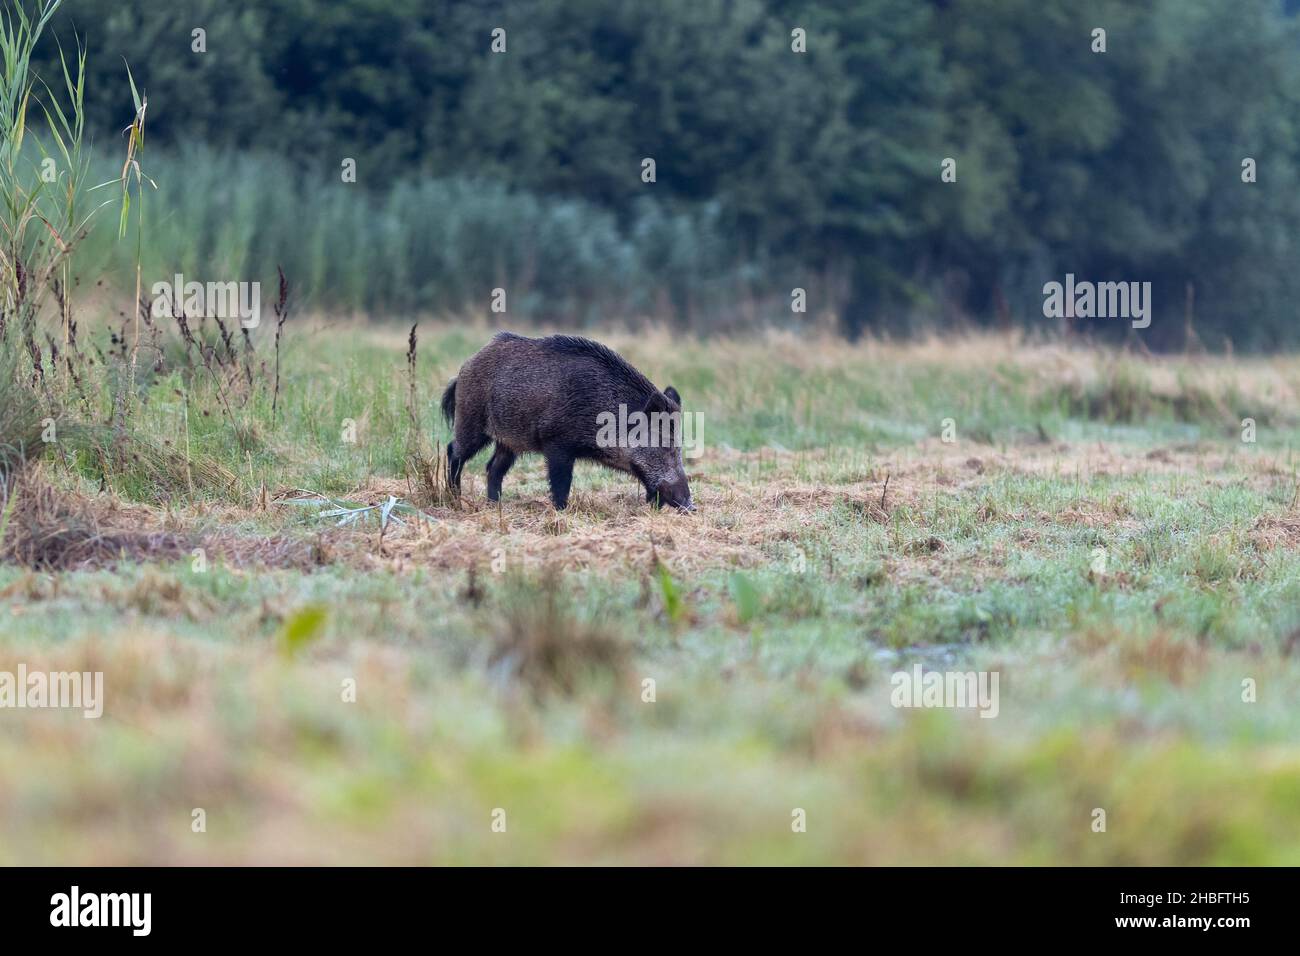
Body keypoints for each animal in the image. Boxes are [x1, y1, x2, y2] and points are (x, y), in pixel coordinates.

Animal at [441, 332, 693, 511]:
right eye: (665, 445)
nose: (691, 506)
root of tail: (465, 366)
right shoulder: (557, 443)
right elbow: (561, 482)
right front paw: (561, 511)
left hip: (510, 440)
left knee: (493, 467)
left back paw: (495, 505)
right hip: (471, 419)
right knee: (454, 451)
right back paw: (455, 499)